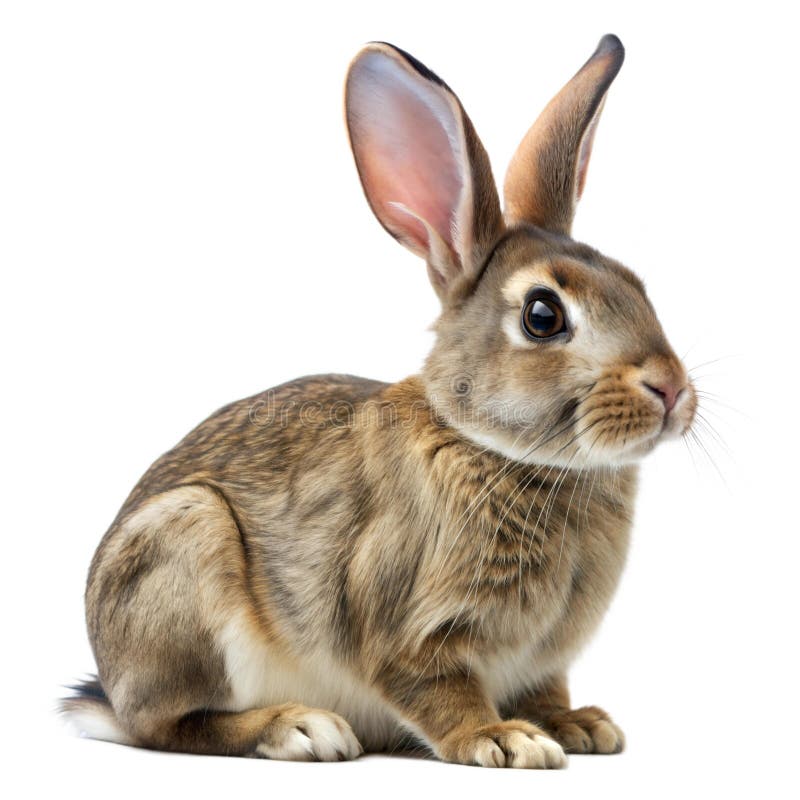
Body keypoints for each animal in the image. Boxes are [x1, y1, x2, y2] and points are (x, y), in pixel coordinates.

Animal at [61, 34, 696, 769]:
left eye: (635, 284)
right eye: (543, 315)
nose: (671, 388)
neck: (492, 446)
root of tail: (110, 686)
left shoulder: (543, 661)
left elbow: (546, 690)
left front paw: (579, 726)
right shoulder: (408, 626)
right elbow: (438, 690)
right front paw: (504, 739)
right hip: (184, 548)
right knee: (168, 725)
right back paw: (302, 728)